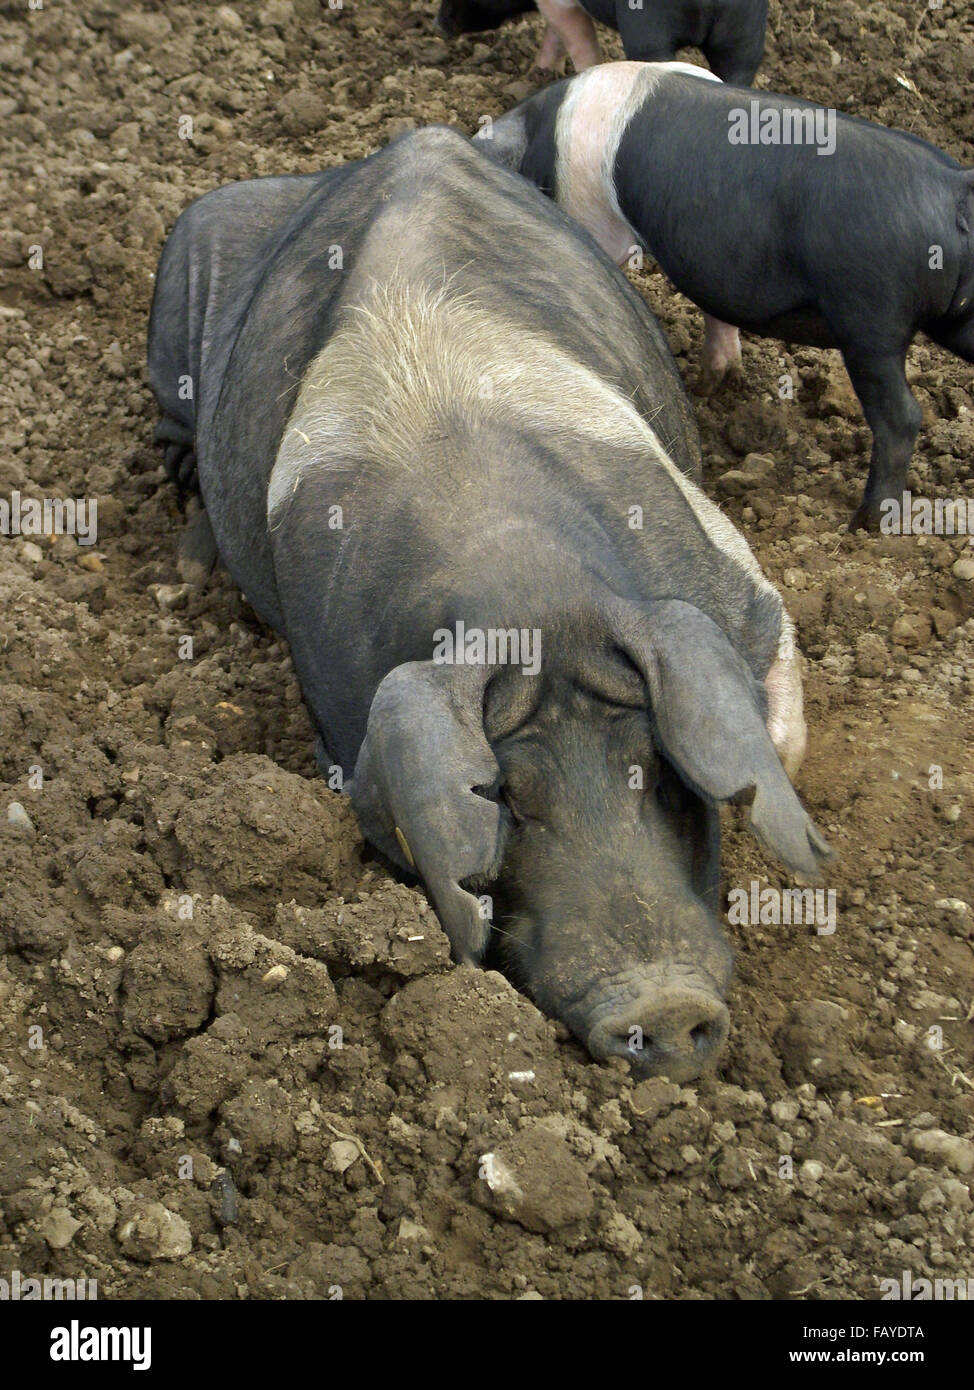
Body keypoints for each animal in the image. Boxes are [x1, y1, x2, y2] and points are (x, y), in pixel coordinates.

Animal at [435, 0, 767, 84]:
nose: (438, 25)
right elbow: (554, 35)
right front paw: (537, 75)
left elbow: (576, 39)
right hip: (745, 31)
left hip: (647, 30)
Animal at [476, 62, 974, 530]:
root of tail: (954, 189)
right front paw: (716, 383)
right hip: (947, 319)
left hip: (870, 317)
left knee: (902, 416)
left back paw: (864, 524)